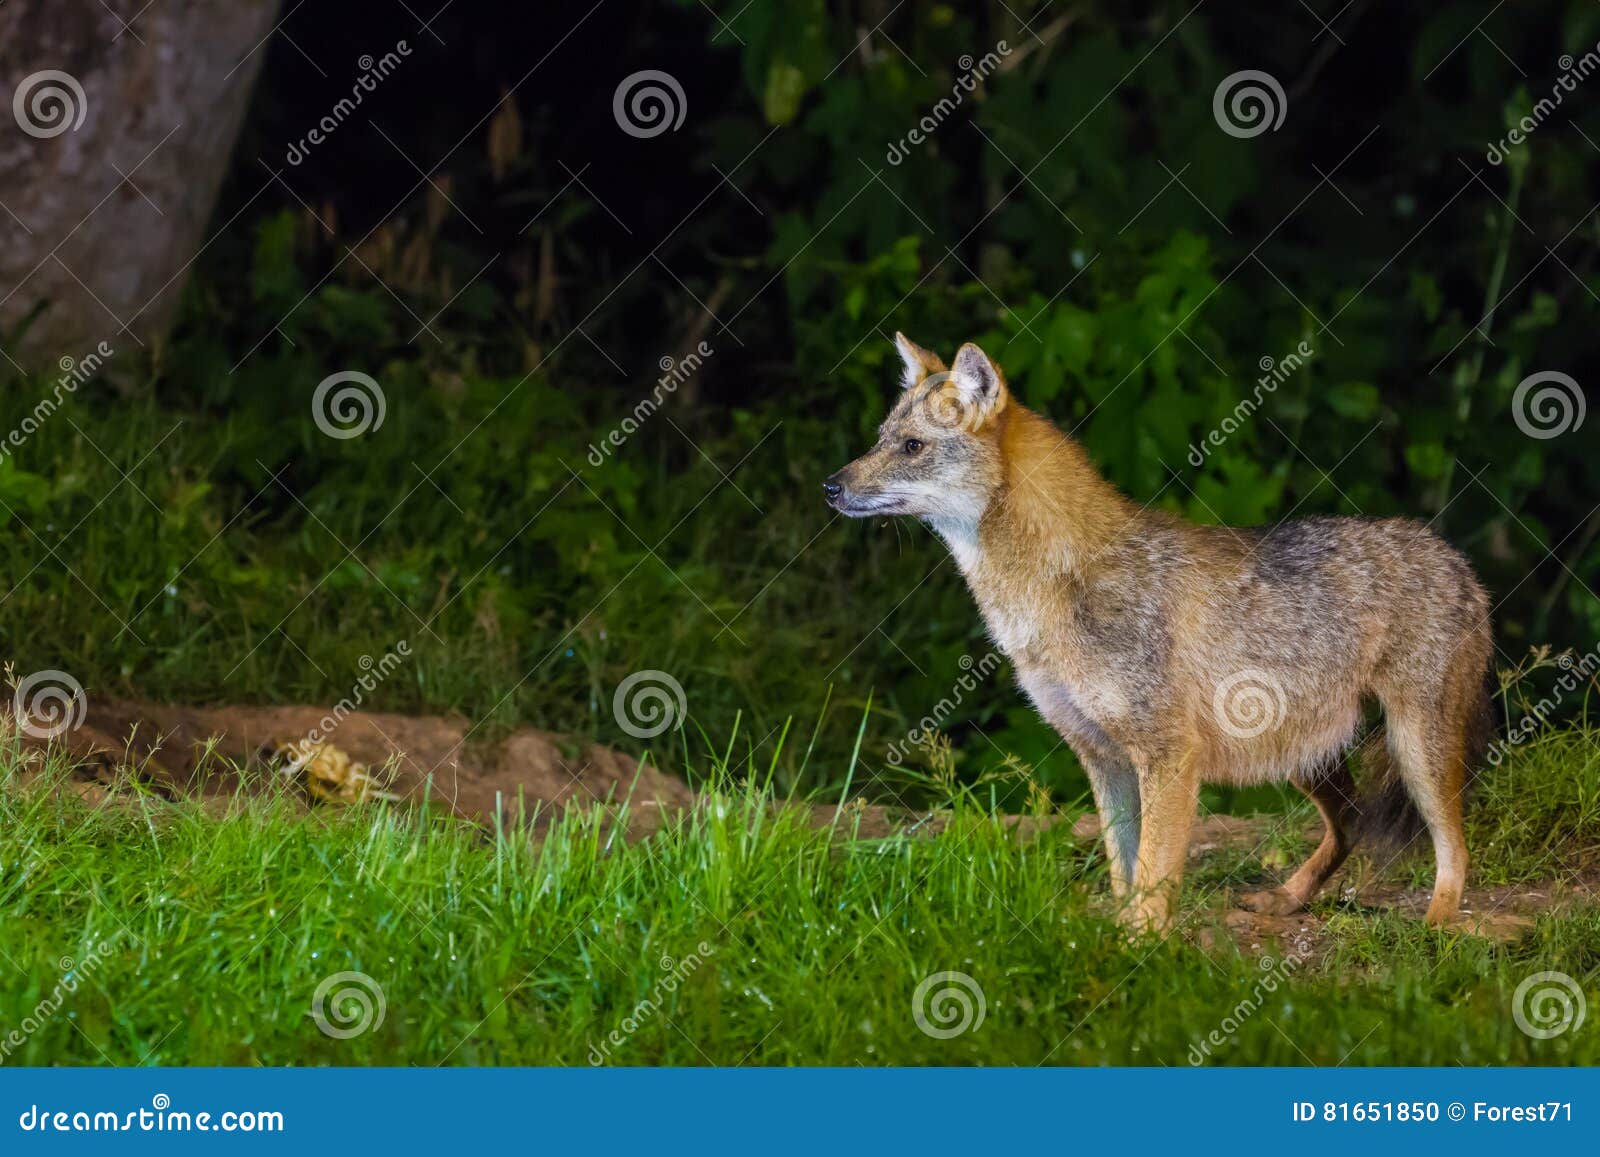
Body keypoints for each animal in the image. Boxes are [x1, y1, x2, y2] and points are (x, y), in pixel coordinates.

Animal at [826, 333, 1494, 934]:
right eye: (881, 440)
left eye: (912, 446)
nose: (831, 485)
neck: (1047, 597)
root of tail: (1454, 555)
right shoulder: (1103, 759)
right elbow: (1125, 872)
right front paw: (1121, 945)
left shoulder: (1170, 756)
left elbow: (1151, 876)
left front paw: (1142, 956)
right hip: (1304, 757)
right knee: (1351, 824)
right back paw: (1287, 899)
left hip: (1413, 748)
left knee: (1455, 845)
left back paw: (1436, 926)